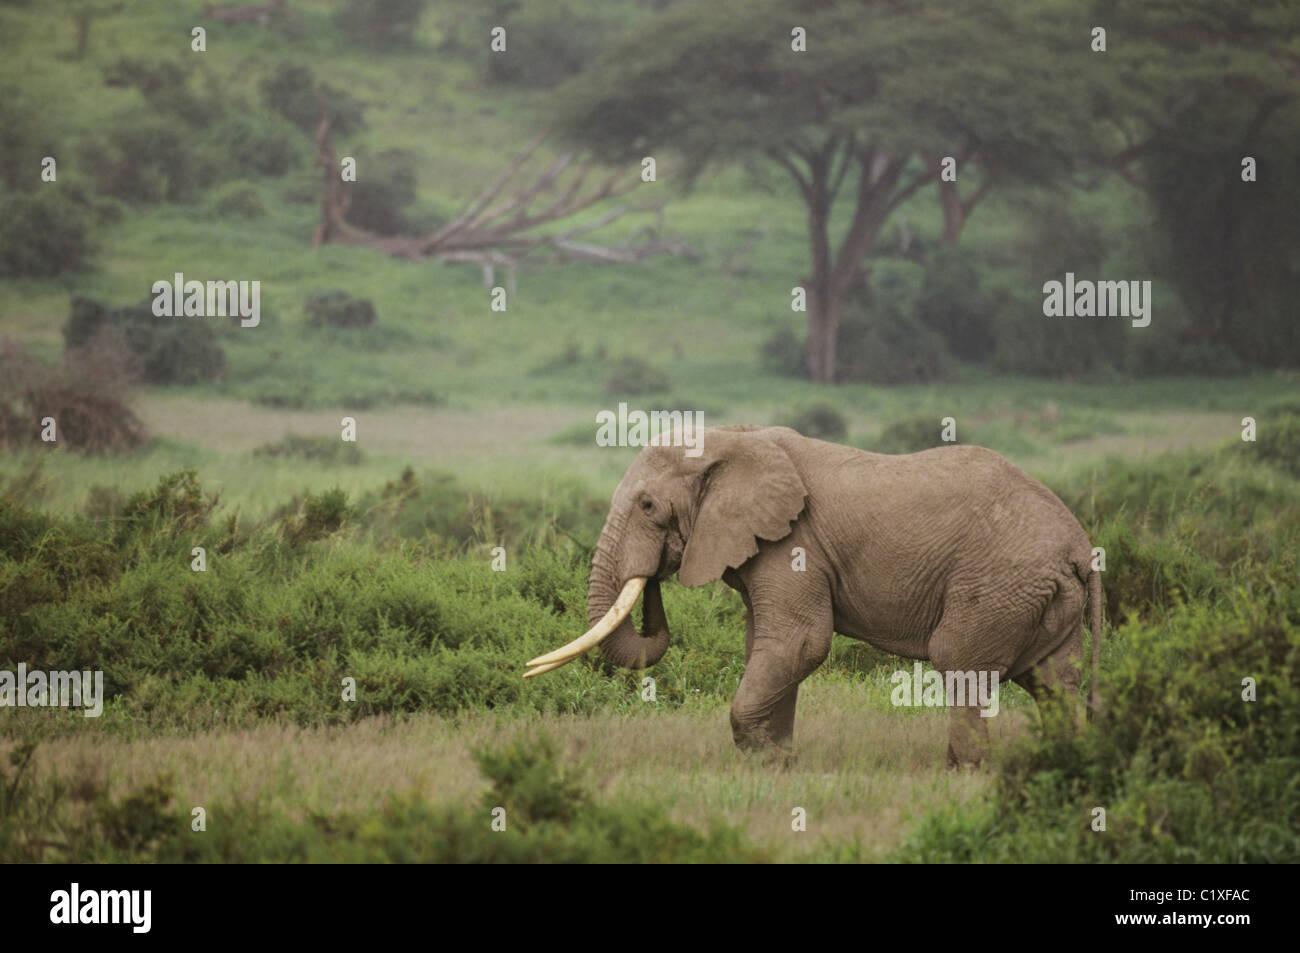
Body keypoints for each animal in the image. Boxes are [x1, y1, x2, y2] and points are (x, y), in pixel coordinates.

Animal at [526, 425, 1102, 766]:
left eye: (647, 506)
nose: (654, 575)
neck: (733, 438)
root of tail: (1081, 548)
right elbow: (768, 645)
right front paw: (776, 768)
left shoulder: (793, 542)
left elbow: (799, 643)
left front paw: (760, 760)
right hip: (1042, 597)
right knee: (1055, 680)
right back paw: (1062, 762)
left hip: (998, 584)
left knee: (960, 662)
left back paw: (964, 773)